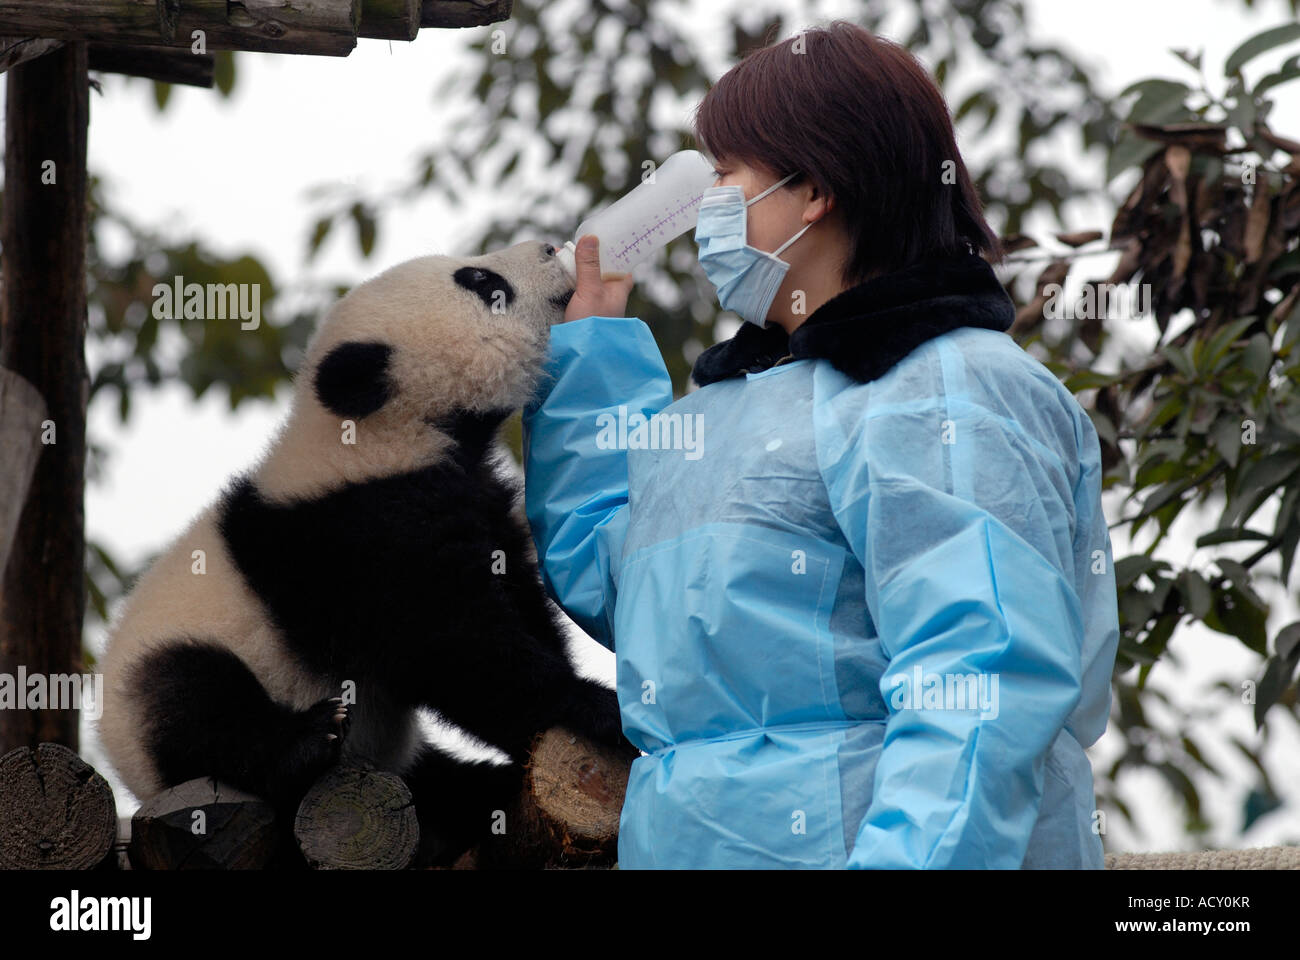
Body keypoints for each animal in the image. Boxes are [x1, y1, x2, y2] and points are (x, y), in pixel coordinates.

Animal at [95, 240, 625, 867]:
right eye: (481, 281)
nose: (548, 247)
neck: (374, 442)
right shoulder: (353, 536)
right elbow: (451, 646)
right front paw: (596, 706)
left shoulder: (476, 503)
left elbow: (518, 601)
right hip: (171, 687)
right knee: (192, 702)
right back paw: (308, 740)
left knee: (432, 781)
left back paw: (476, 792)